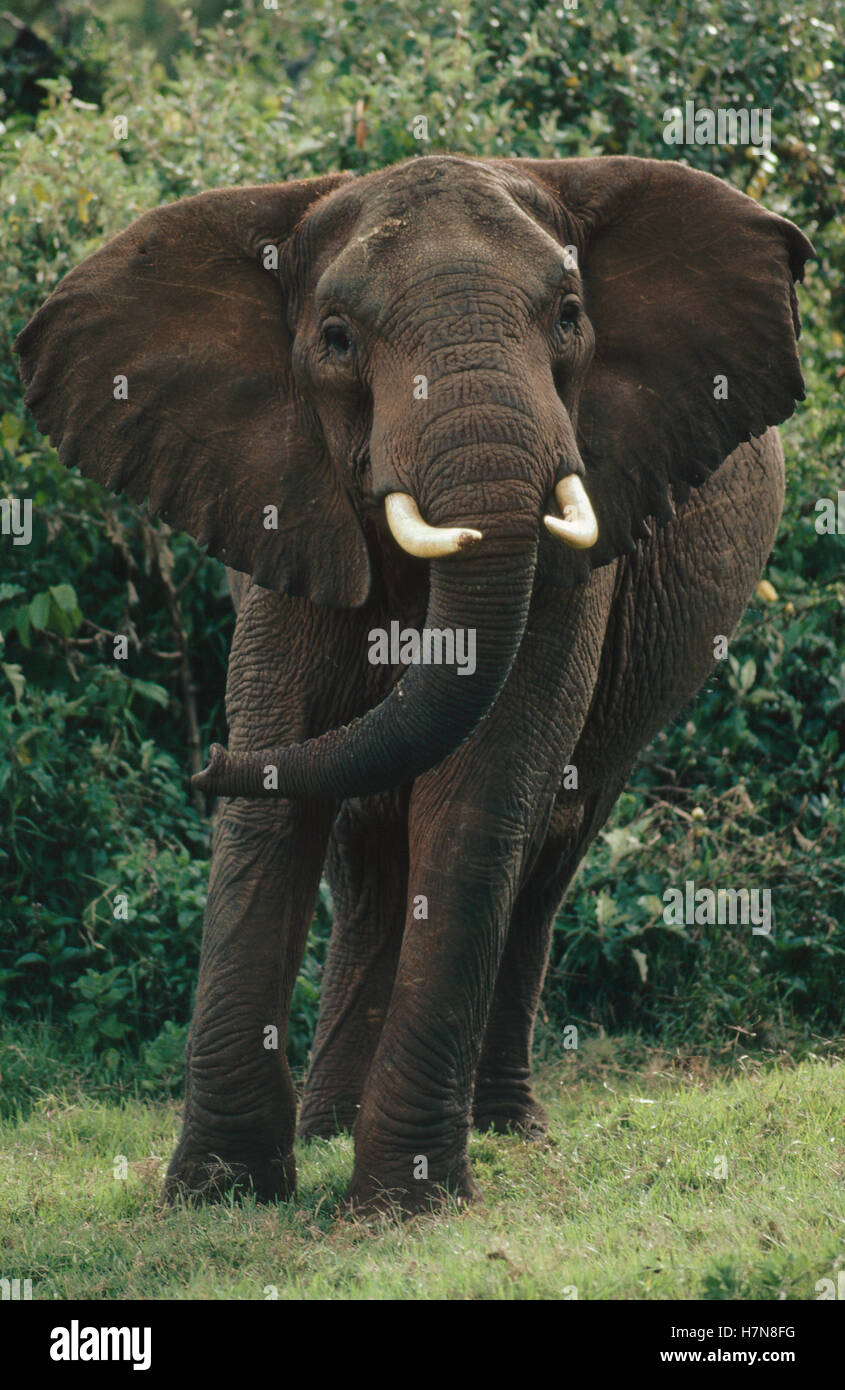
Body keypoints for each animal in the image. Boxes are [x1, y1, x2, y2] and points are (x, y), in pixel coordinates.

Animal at [15, 153, 813, 1214]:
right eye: (336, 339)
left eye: (569, 316)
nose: (202, 760)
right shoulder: (285, 502)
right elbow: (286, 773)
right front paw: (219, 1192)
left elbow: (482, 786)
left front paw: (406, 1201)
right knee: (365, 851)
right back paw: (328, 1126)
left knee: (548, 850)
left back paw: (507, 1130)